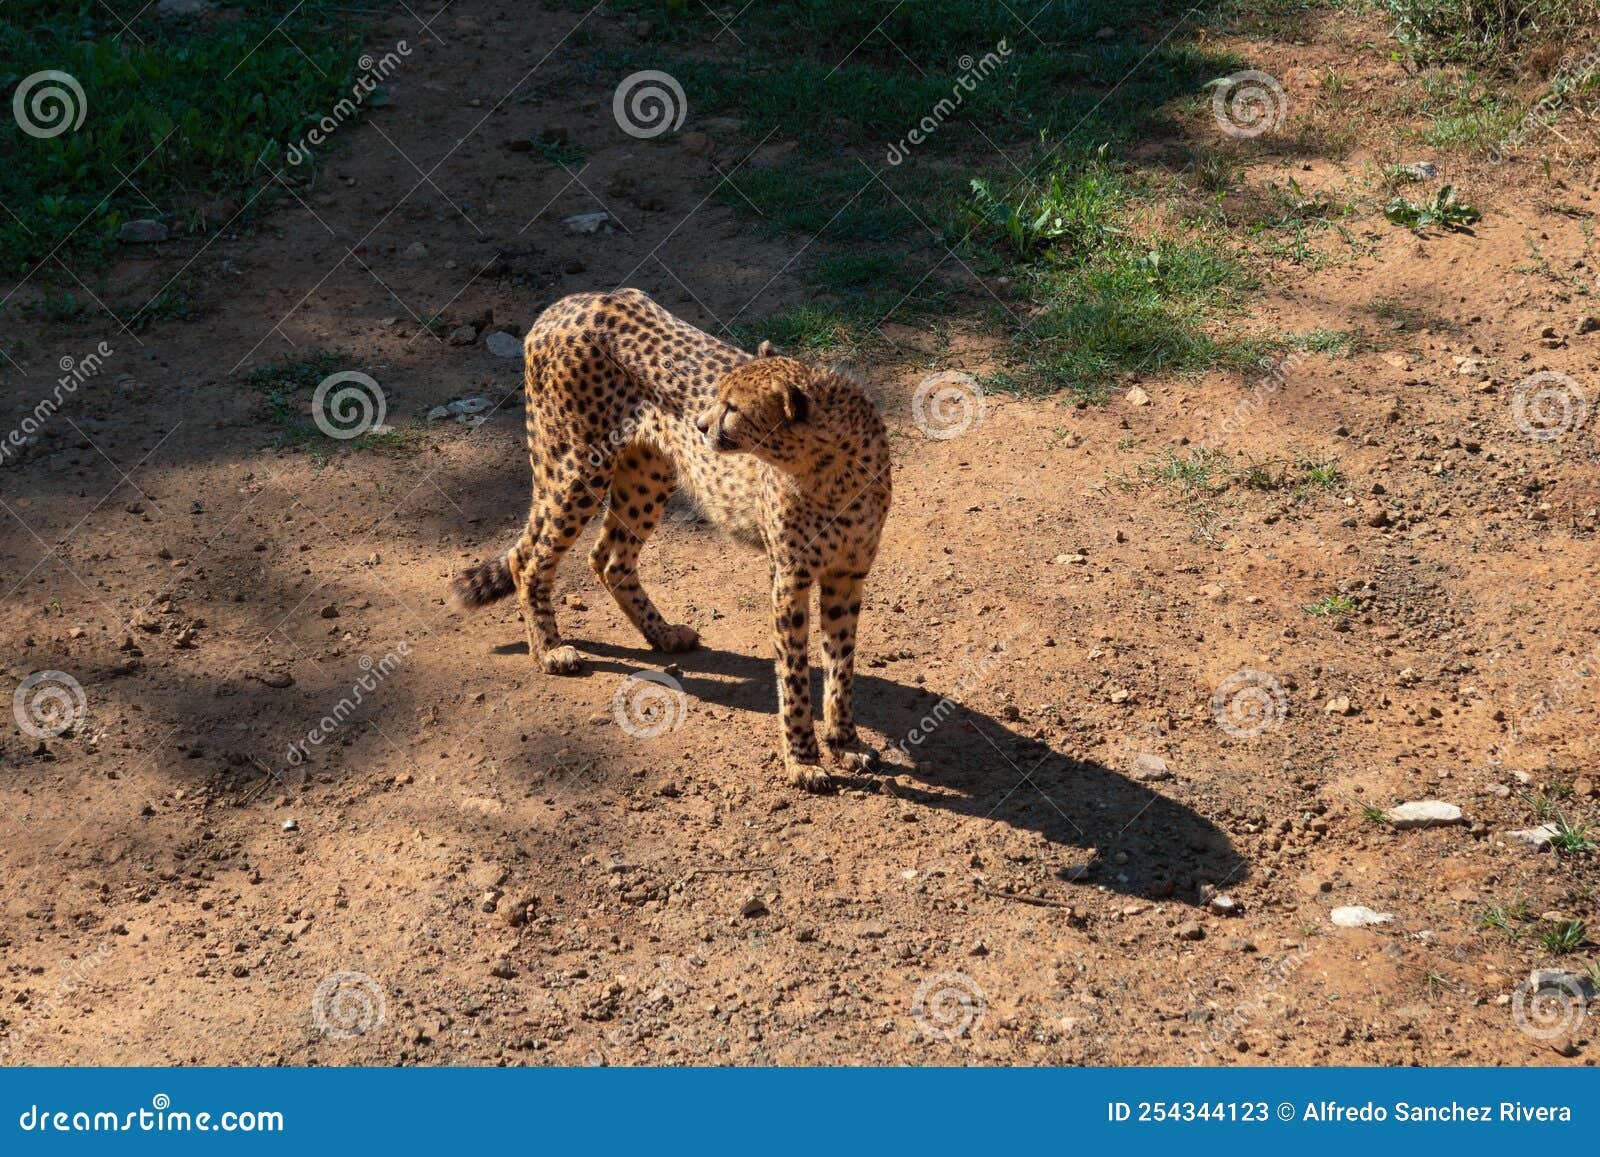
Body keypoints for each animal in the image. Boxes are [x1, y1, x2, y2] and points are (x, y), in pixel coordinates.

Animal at [450, 288, 891, 791]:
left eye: (733, 407)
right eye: (718, 398)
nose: (698, 425)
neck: (827, 467)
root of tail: (568, 303)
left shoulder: (847, 574)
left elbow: (841, 665)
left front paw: (846, 742)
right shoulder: (790, 578)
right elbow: (795, 674)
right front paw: (802, 760)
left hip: (648, 472)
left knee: (607, 557)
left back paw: (661, 633)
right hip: (577, 468)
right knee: (529, 558)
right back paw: (549, 651)